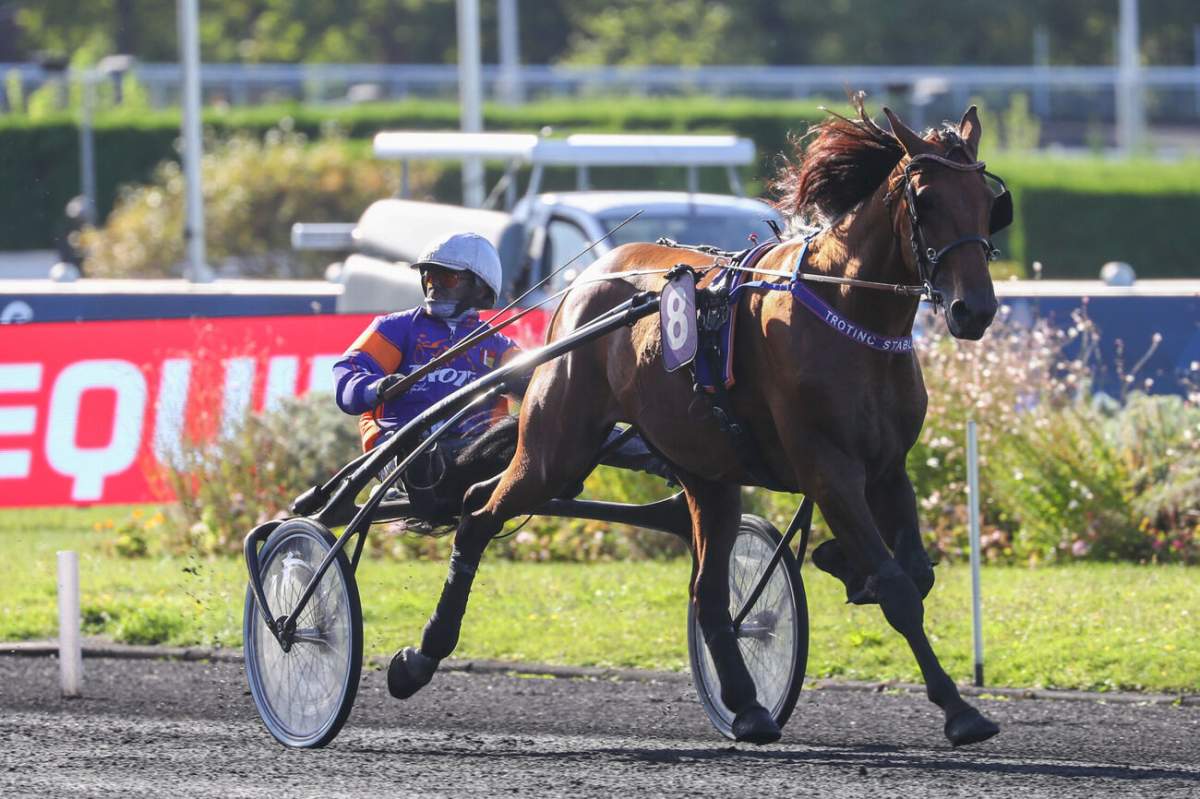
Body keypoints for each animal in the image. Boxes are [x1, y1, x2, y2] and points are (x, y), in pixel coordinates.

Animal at [387, 97, 1006, 748]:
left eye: (988, 203)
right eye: (926, 199)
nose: (974, 309)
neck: (848, 309)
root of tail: (588, 279)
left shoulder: (887, 468)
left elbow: (915, 573)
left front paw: (845, 568)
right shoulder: (829, 469)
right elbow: (898, 589)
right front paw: (959, 709)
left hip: (706, 472)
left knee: (706, 592)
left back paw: (748, 705)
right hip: (556, 448)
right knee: (479, 512)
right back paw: (419, 657)